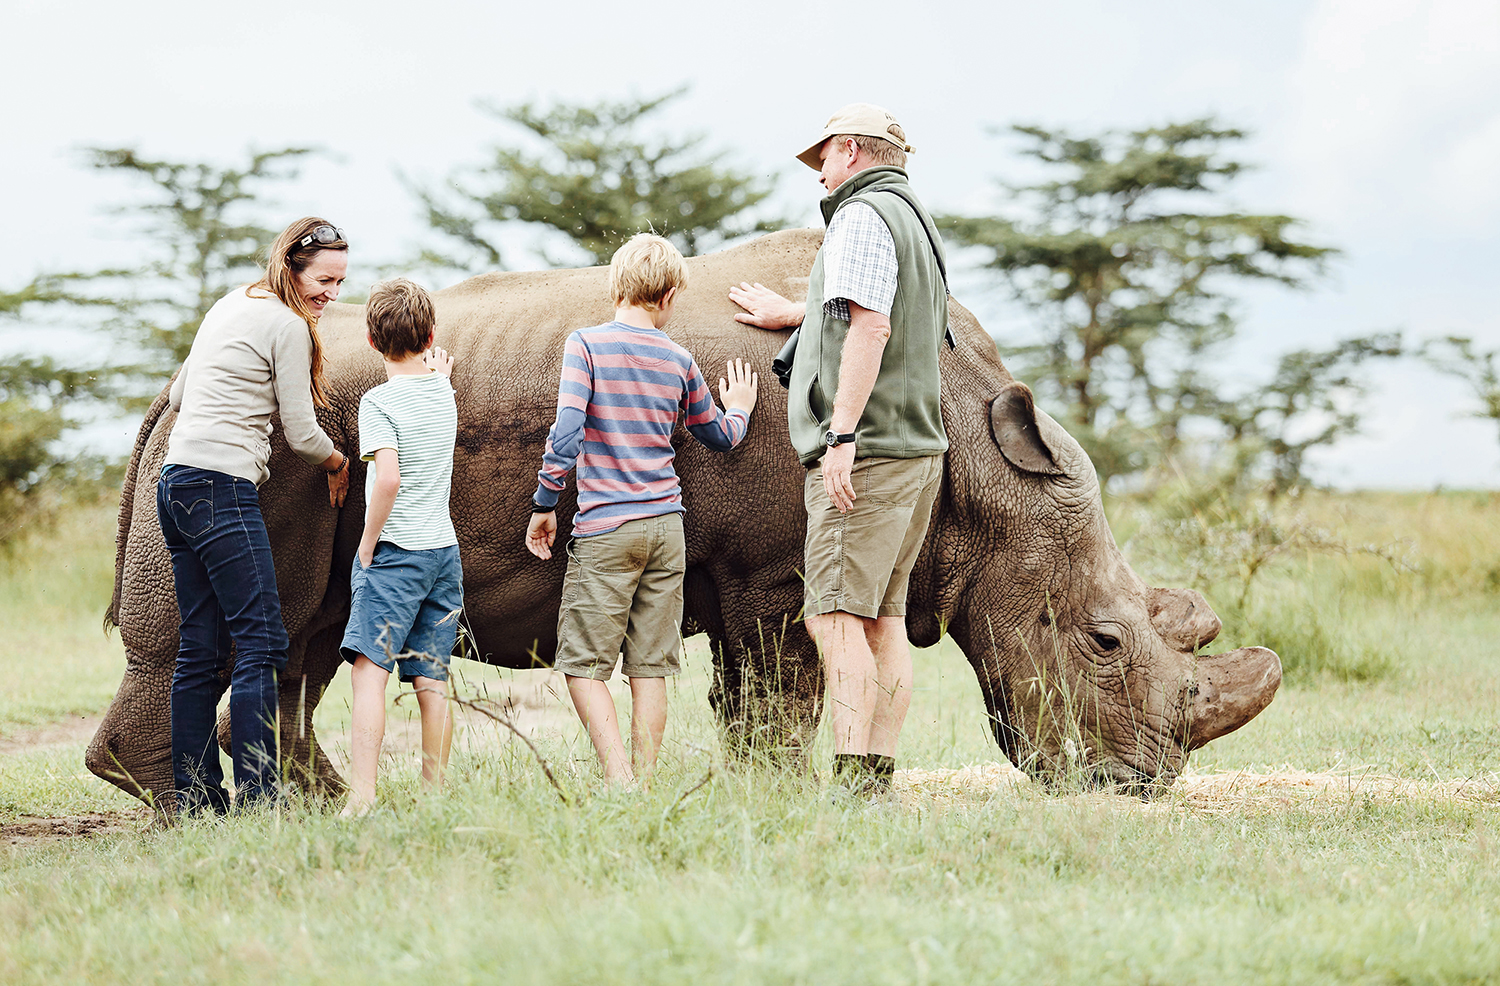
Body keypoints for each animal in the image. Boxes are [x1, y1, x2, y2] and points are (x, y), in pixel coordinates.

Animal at [88, 229, 1281, 804]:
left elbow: (768, 693)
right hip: (267, 444)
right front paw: (778, 797)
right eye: (1104, 641)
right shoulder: (776, 570)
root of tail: (167, 388)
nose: (1140, 787)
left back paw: (305, 799)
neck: (977, 458)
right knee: (254, 633)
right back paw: (222, 811)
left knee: (304, 644)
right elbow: (779, 694)